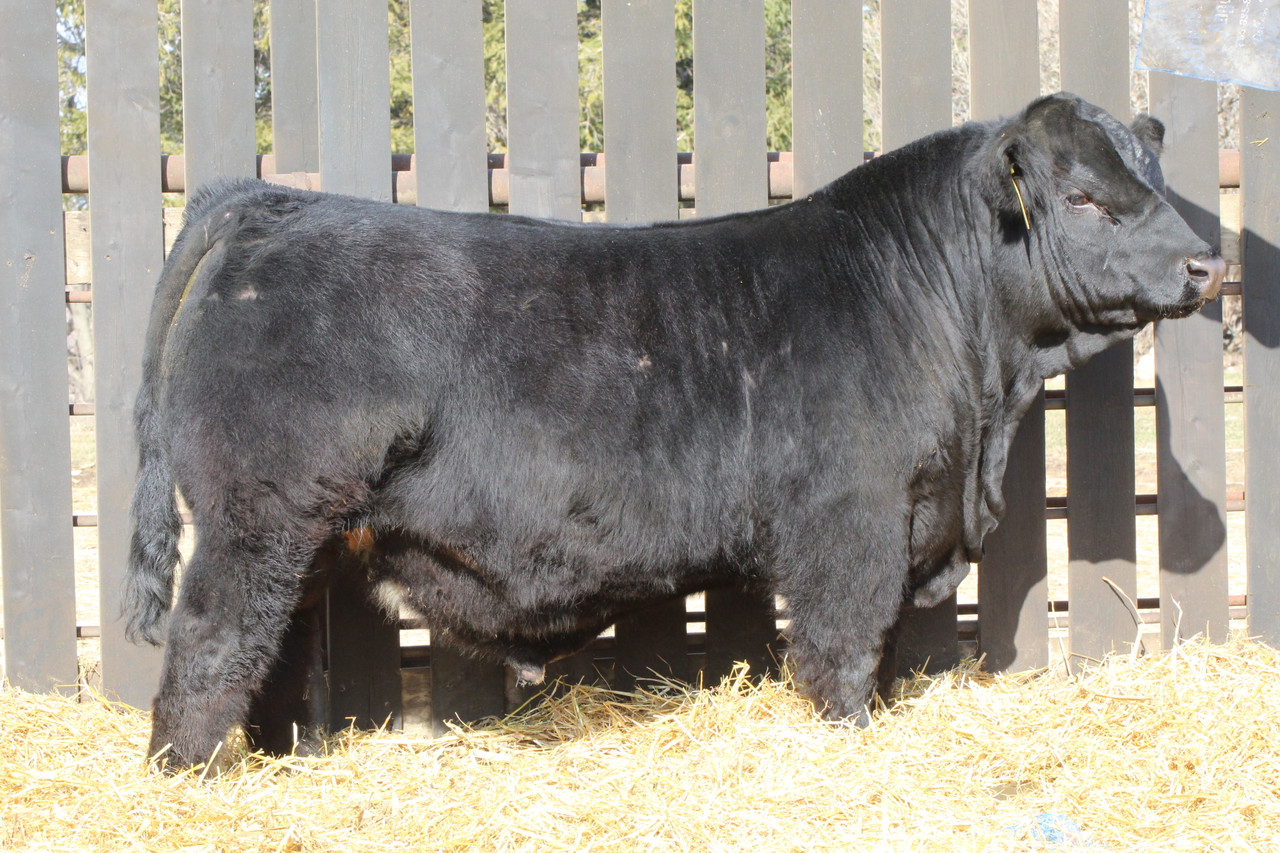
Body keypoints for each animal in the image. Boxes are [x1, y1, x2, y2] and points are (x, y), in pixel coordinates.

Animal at [124, 93, 1223, 769]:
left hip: (300, 532)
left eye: (1151, 183)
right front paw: (848, 733)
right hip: (255, 517)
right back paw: (189, 774)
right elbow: (844, 645)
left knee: (266, 645)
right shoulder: (850, 524)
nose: (1208, 265)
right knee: (211, 640)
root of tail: (271, 203)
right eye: (1082, 197)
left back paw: (274, 760)